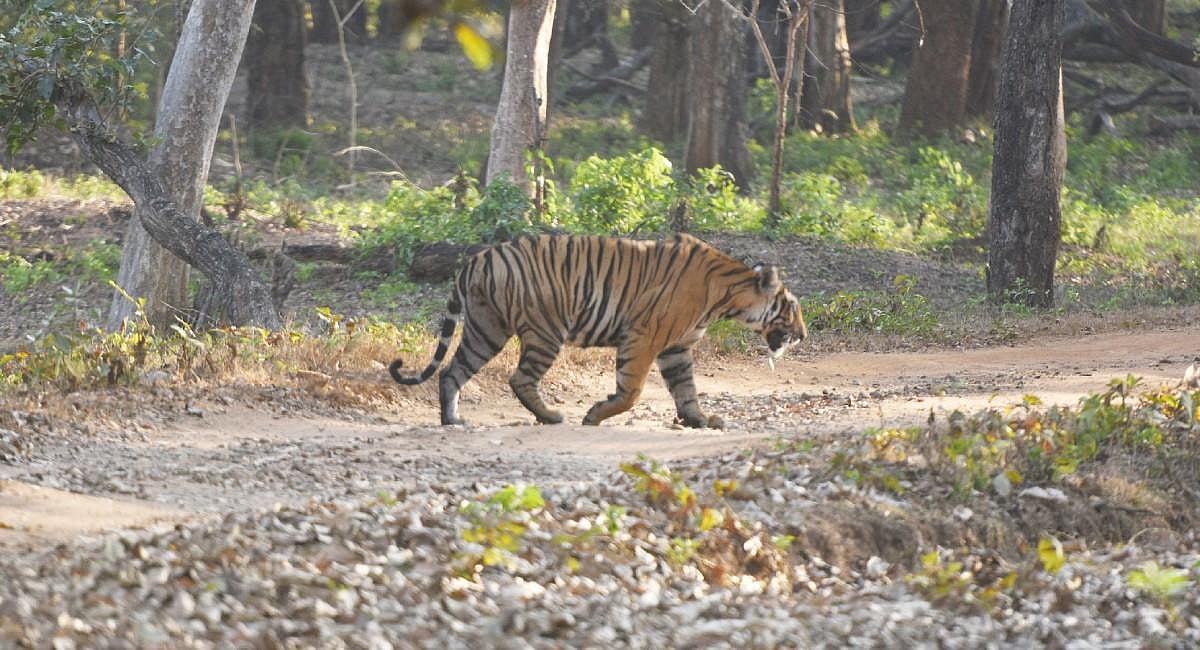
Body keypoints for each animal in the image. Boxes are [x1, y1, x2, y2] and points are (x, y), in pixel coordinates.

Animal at [389, 233, 807, 428]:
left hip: (485, 328)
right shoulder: (644, 336)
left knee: (451, 371)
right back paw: (551, 416)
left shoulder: (677, 348)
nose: (803, 335)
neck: (727, 296)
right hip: (544, 331)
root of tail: (476, 259)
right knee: (519, 378)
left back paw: (453, 420)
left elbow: (686, 389)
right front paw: (595, 414)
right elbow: (632, 391)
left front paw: (699, 420)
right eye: (792, 308)